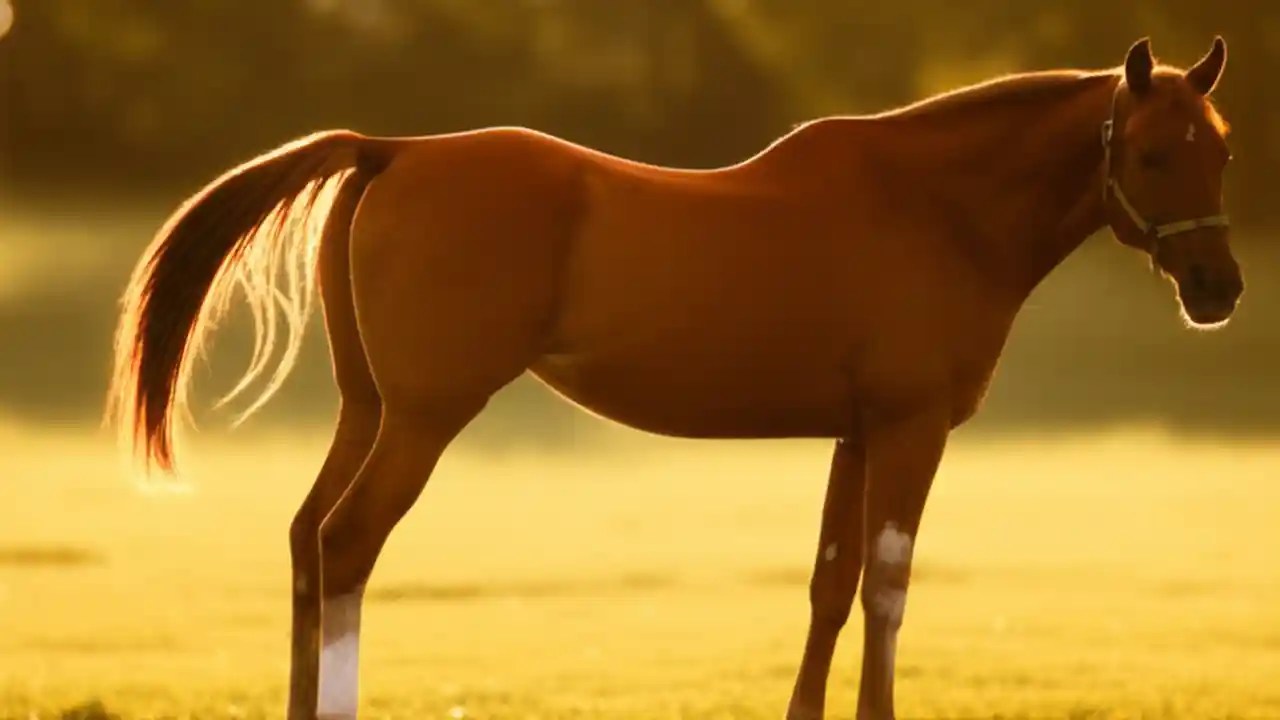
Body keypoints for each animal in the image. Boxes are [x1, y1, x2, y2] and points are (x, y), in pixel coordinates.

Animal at [107, 36, 1239, 720]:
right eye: (1148, 153)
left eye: (1217, 152)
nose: (1218, 288)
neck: (934, 208)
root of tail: (395, 150)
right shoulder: (910, 429)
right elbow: (885, 588)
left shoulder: (854, 432)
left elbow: (828, 587)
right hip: (424, 417)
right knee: (345, 545)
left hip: (369, 408)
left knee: (308, 539)